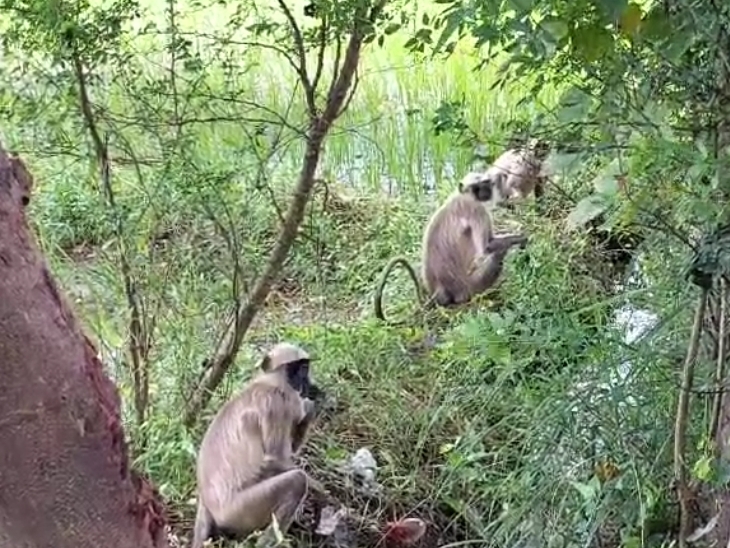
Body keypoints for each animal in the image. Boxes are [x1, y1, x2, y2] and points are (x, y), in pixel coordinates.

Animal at [192, 342, 320, 548]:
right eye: (302, 369)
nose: (307, 382)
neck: (266, 382)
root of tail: (206, 501)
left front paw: (310, 408)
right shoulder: (277, 402)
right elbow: (274, 459)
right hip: (240, 510)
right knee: (298, 480)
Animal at [373, 172, 528, 324]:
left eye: (485, 183)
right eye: (477, 186)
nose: (484, 191)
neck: (463, 196)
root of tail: (438, 291)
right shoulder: (476, 209)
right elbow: (487, 247)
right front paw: (522, 238)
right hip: (471, 286)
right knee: (497, 254)